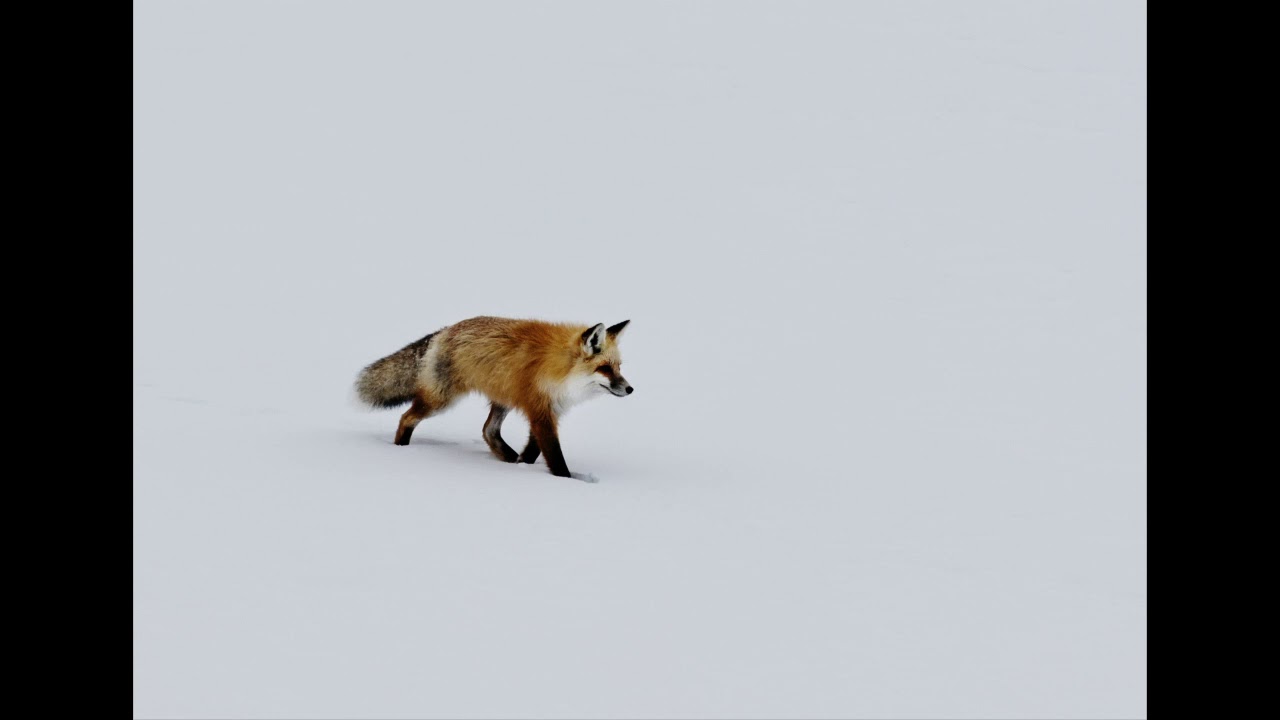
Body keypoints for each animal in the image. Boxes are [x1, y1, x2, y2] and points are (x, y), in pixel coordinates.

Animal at [354, 316, 633, 478]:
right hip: (441, 400)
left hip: (503, 398)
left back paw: (508, 458)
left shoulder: (548, 409)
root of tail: (444, 330)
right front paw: (565, 480)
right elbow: (554, 455)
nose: (630, 389)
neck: (560, 371)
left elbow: (534, 450)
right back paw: (400, 450)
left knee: (488, 430)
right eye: (605, 368)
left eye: (619, 367)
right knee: (406, 417)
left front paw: (523, 466)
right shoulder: (540, 410)